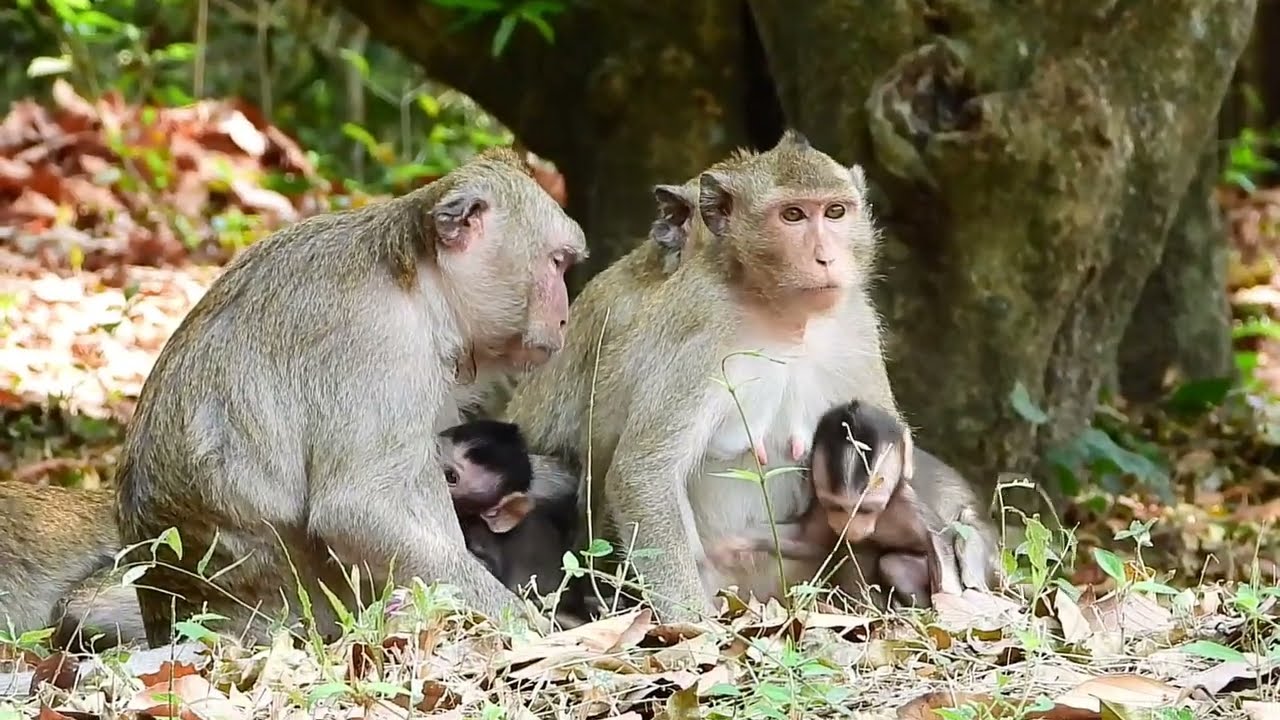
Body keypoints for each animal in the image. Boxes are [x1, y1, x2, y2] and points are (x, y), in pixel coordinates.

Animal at [112, 147, 589, 647]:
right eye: (558, 263)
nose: (563, 317)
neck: (417, 282)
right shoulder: (379, 343)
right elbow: (356, 508)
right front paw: (534, 632)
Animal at [503, 131, 998, 621]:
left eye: (835, 212)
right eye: (793, 215)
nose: (825, 257)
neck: (781, 315)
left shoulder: (855, 321)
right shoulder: (696, 325)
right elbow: (641, 472)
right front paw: (693, 627)